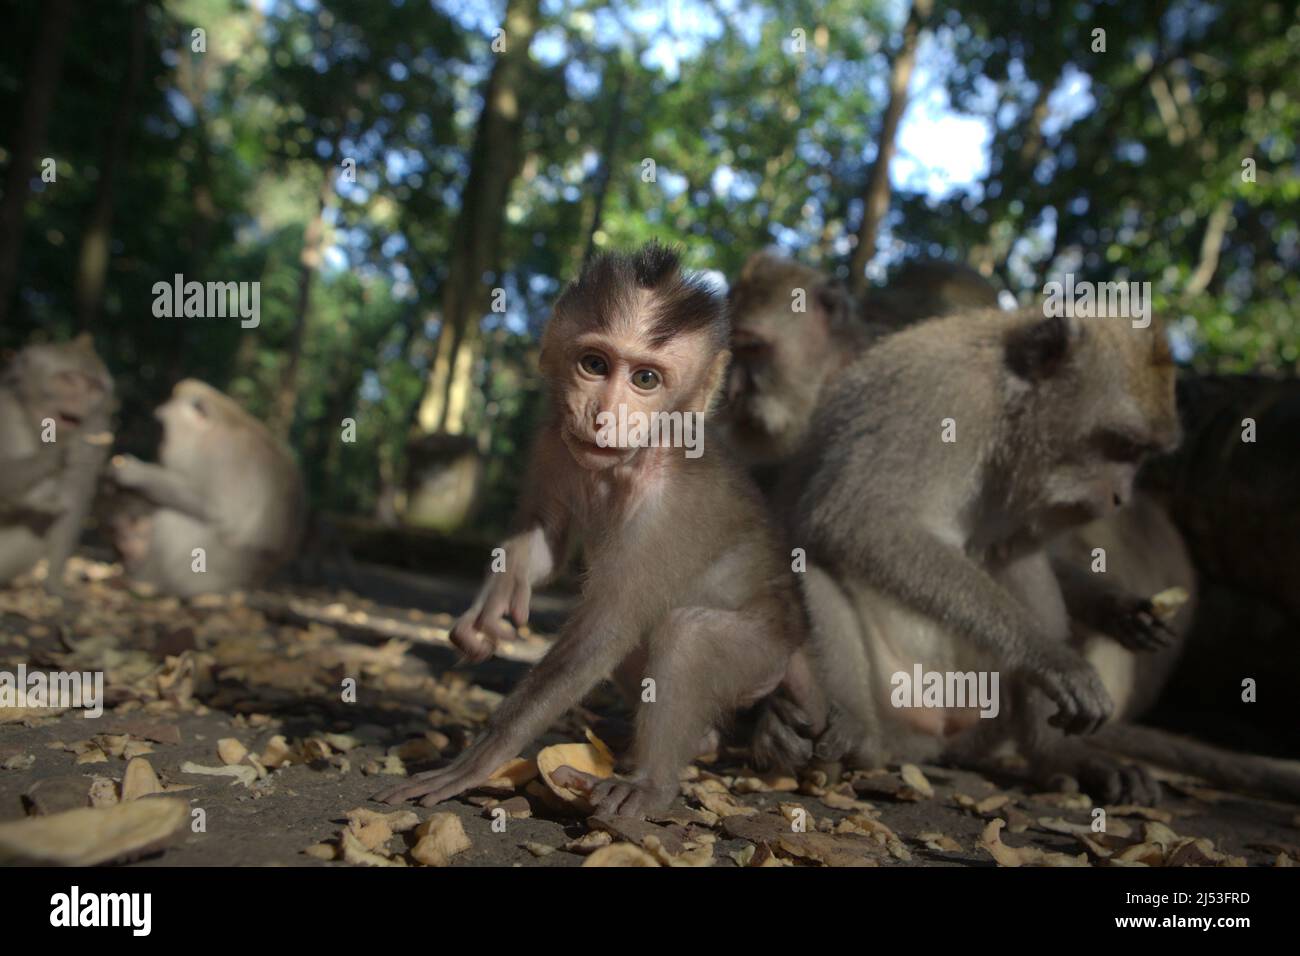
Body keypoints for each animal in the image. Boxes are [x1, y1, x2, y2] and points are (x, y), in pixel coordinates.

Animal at [0, 335, 115, 594]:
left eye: (93, 387)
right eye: (68, 379)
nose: (80, 400)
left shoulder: (95, 431)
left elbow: (74, 501)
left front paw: (54, 582)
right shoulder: (5, 412)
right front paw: (53, 456)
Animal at [107, 379, 304, 597]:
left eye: (164, 428)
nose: (161, 446)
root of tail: (252, 583)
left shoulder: (223, 457)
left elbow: (219, 512)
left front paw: (138, 474)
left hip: (211, 573)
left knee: (170, 521)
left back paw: (144, 579)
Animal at [375, 242, 821, 818]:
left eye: (646, 380)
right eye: (594, 365)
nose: (604, 416)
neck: (628, 464)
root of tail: (796, 635)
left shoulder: (665, 510)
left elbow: (601, 634)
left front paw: (475, 761)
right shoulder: (551, 439)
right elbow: (550, 537)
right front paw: (498, 596)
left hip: (763, 648)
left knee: (686, 635)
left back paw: (650, 785)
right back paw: (693, 743)